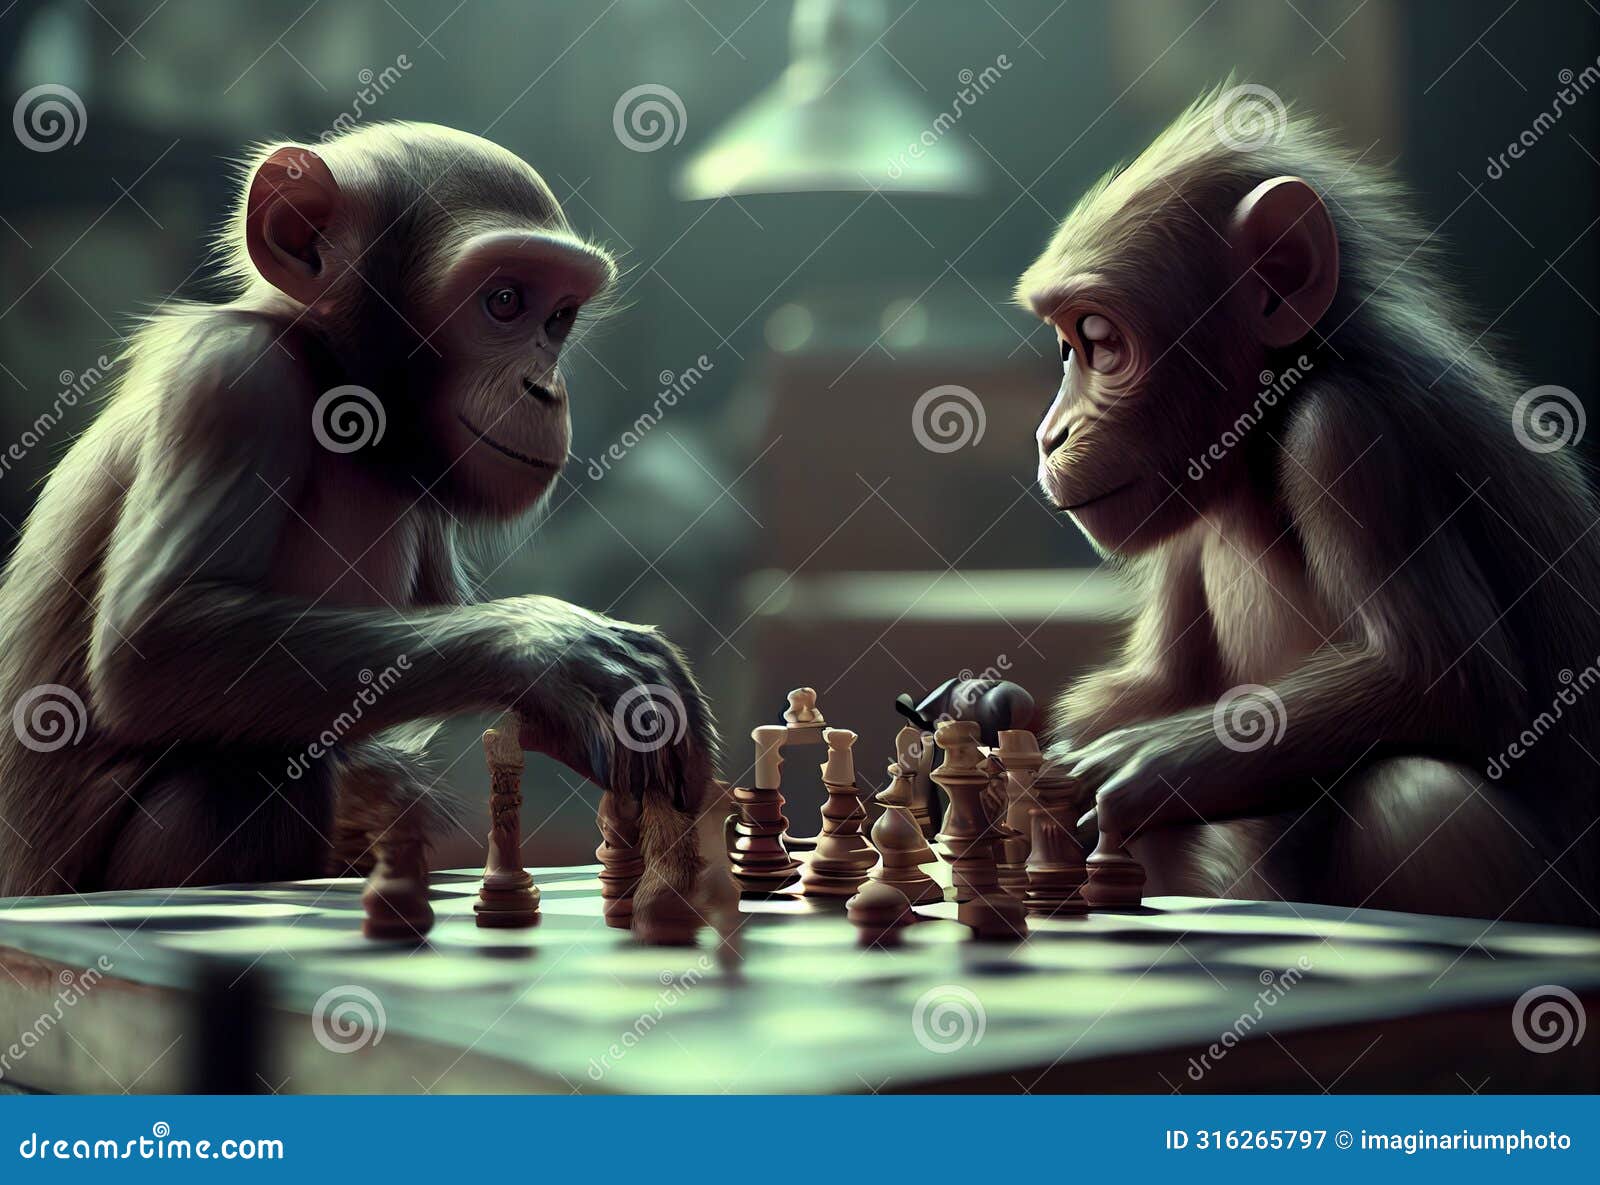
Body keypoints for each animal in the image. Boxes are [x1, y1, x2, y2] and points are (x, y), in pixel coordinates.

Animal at [0, 122, 716, 941]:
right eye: (505, 301)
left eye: (559, 317)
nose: (545, 387)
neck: (336, 389)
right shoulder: (235, 381)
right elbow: (154, 639)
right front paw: (556, 652)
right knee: (242, 776)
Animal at [1016, 85, 1598, 925]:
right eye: (1064, 346)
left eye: (1099, 341)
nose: (1050, 434)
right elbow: (1154, 684)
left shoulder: (1344, 434)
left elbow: (1447, 678)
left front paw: (1140, 768)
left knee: (1417, 799)